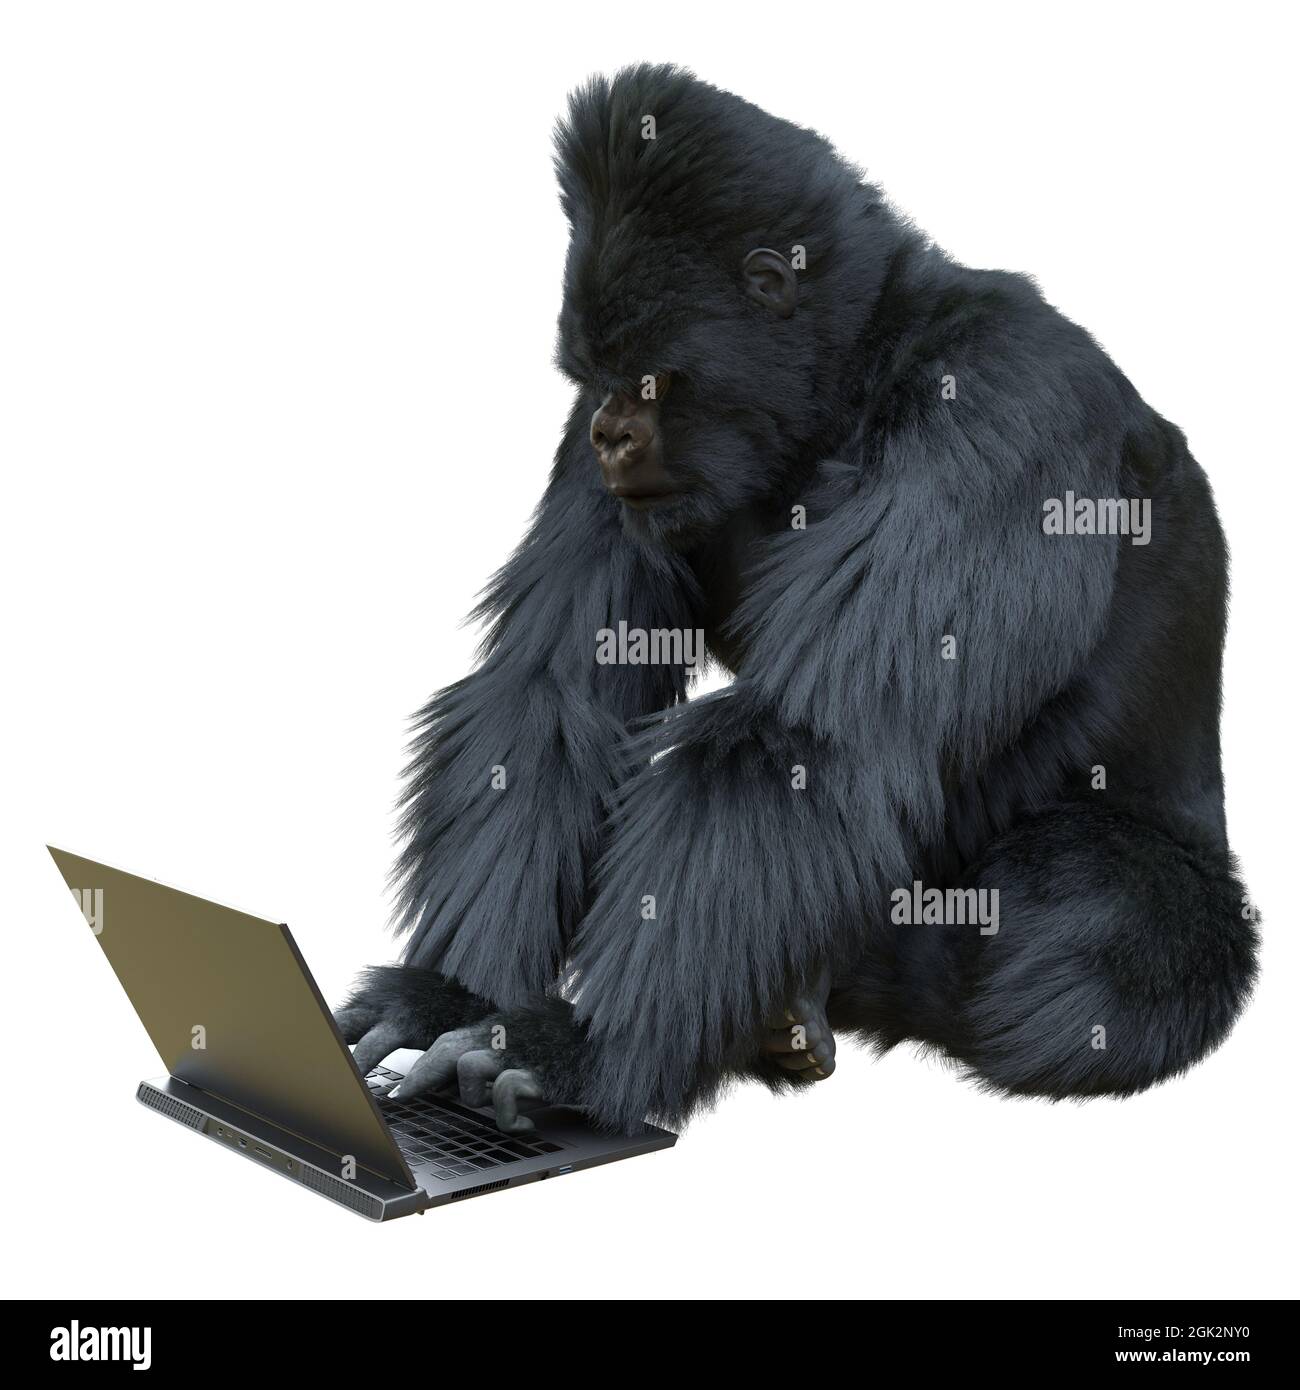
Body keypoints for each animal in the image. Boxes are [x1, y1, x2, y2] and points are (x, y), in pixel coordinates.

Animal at [336, 64, 1258, 1136]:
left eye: (651, 379)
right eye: (599, 379)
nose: (612, 431)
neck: (856, 374)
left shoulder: (1001, 394)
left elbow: (810, 735)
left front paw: (586, 1053)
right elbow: (550, 695)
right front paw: (446, 997)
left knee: (1088, 947)